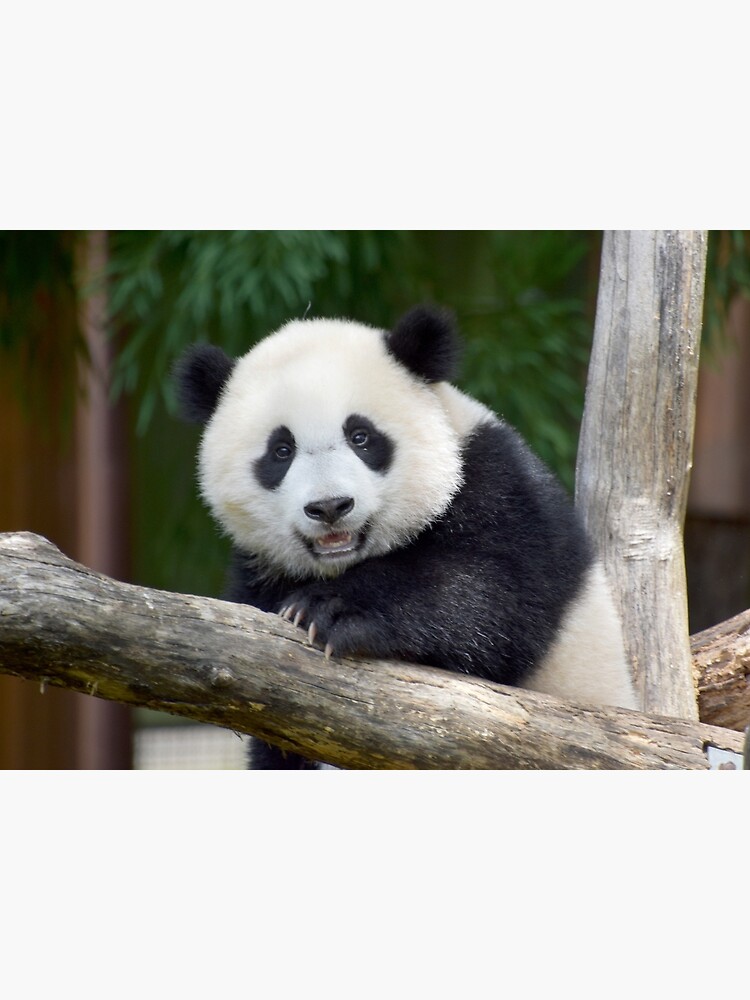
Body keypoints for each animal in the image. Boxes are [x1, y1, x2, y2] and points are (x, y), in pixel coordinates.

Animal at [175, 305, 636, 769]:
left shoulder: (503, 491)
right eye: (281, 451)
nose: (330, 506)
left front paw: (331, 611)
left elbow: (490, 594)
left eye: (361, 437)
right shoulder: (259, 572)